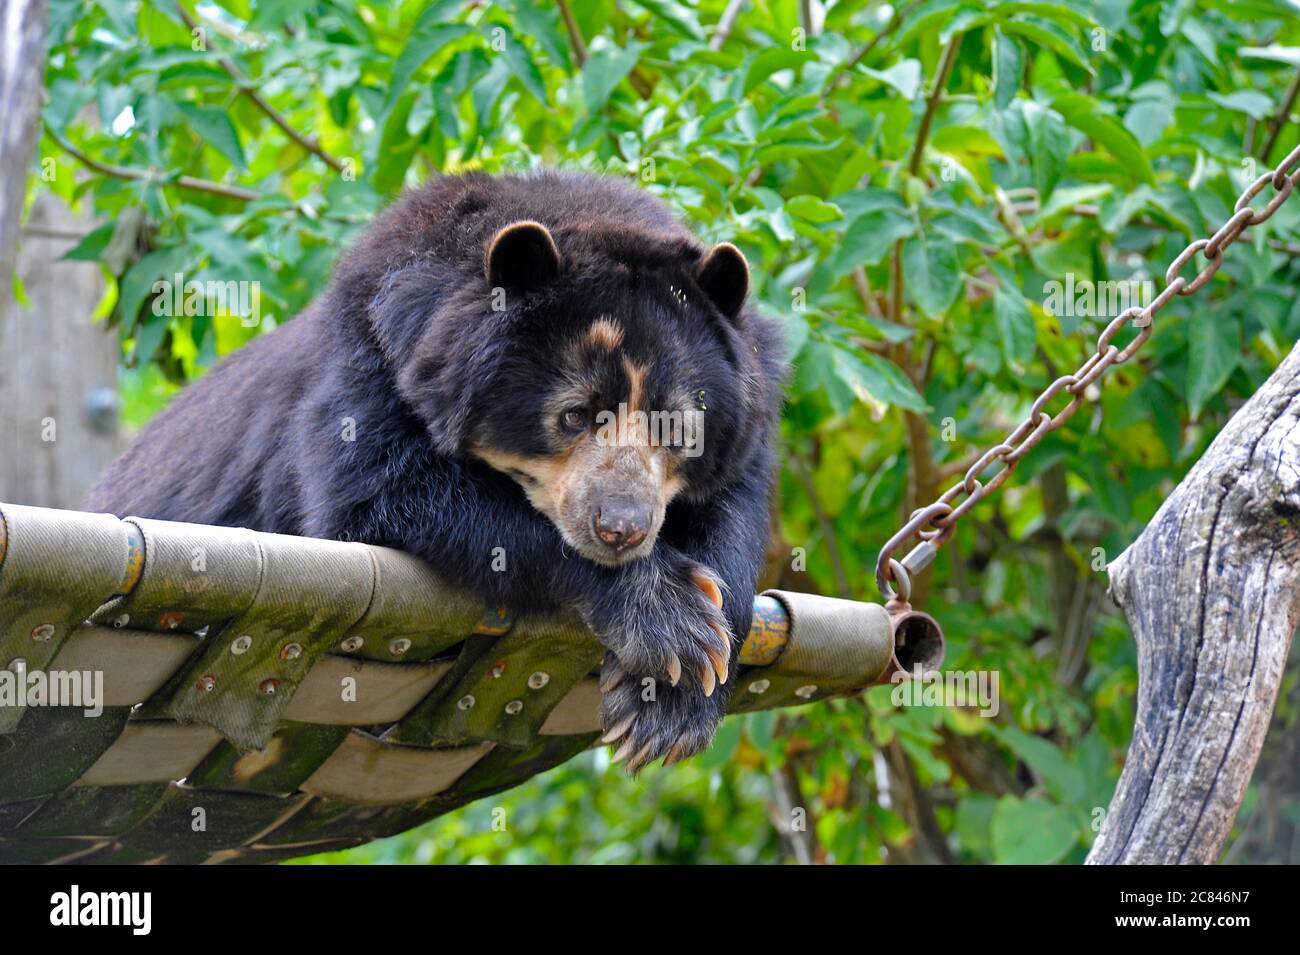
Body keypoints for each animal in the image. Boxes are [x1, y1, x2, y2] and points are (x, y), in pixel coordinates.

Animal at [86, 170, 786, 772]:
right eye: (573, 415)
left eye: (678, 427)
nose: (622, 529)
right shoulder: (373, 351)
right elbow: (378, 491)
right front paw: (668, 623)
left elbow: (731, 510)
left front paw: (672, 705)